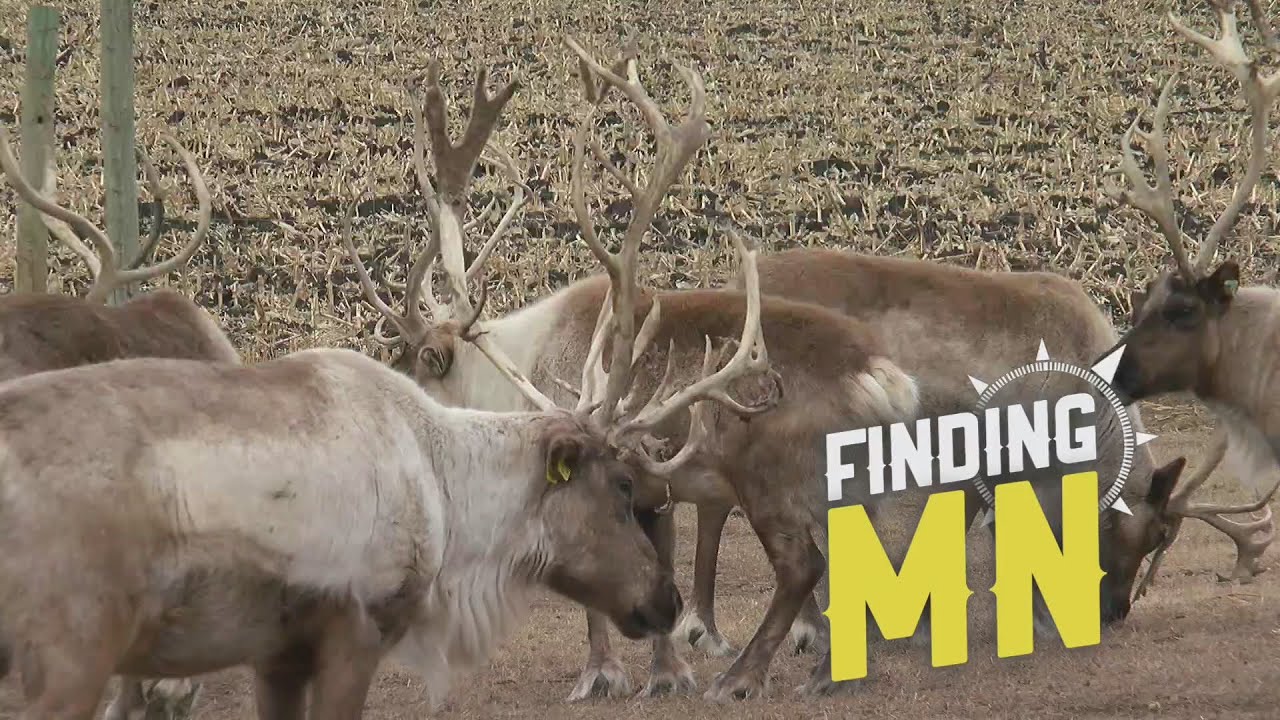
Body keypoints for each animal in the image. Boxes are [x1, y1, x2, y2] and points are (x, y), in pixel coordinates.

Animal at [340, 36, 929, 702]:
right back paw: (831, 670)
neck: (504, 380)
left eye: (409, 366)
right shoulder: (653, 490)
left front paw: (607, 673)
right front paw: (665, 670)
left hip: (773, 483)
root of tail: (882, 374)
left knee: (803, 566)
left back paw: (743, 677)